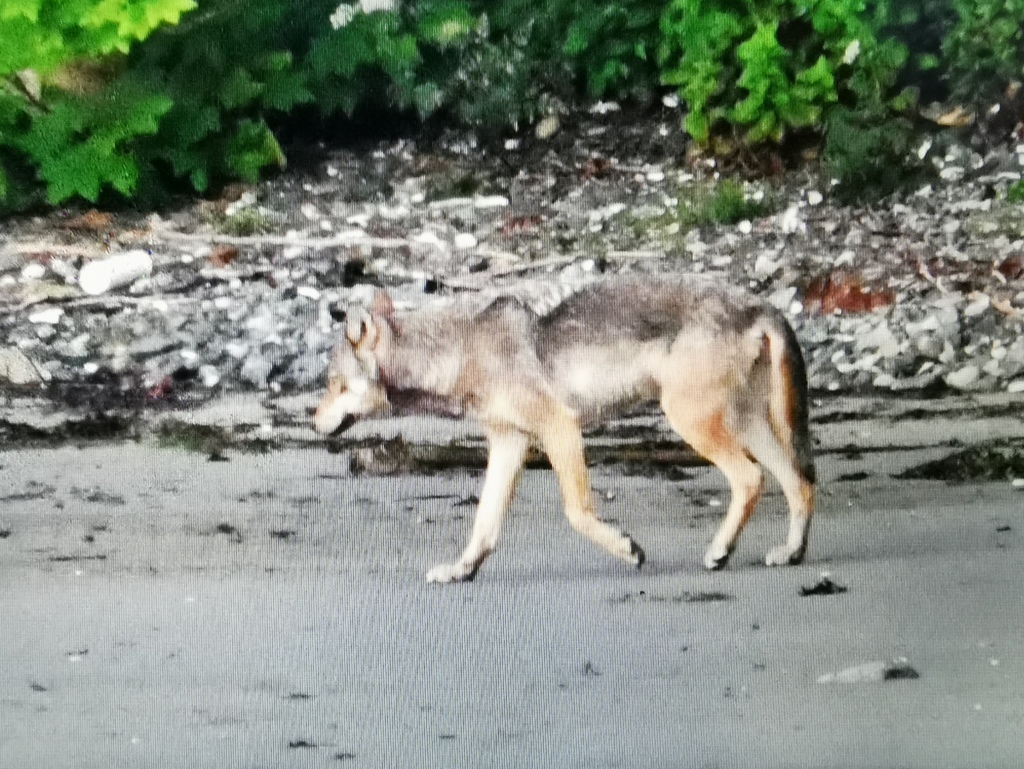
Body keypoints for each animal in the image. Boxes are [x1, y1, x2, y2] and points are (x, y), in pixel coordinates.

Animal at [313, 276, 815, 583]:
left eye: (334, 383)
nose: (313, 422)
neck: (458, 351)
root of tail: (760, 305)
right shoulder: (508, 443)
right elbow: (483, 524)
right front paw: (461, 571)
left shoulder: (560, 428)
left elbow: (576, 512)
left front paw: (627, 549)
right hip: (745, 425)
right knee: (801, 483)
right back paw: (791, 553)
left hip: (690, 421)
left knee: (752, 479)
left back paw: (720, 551)